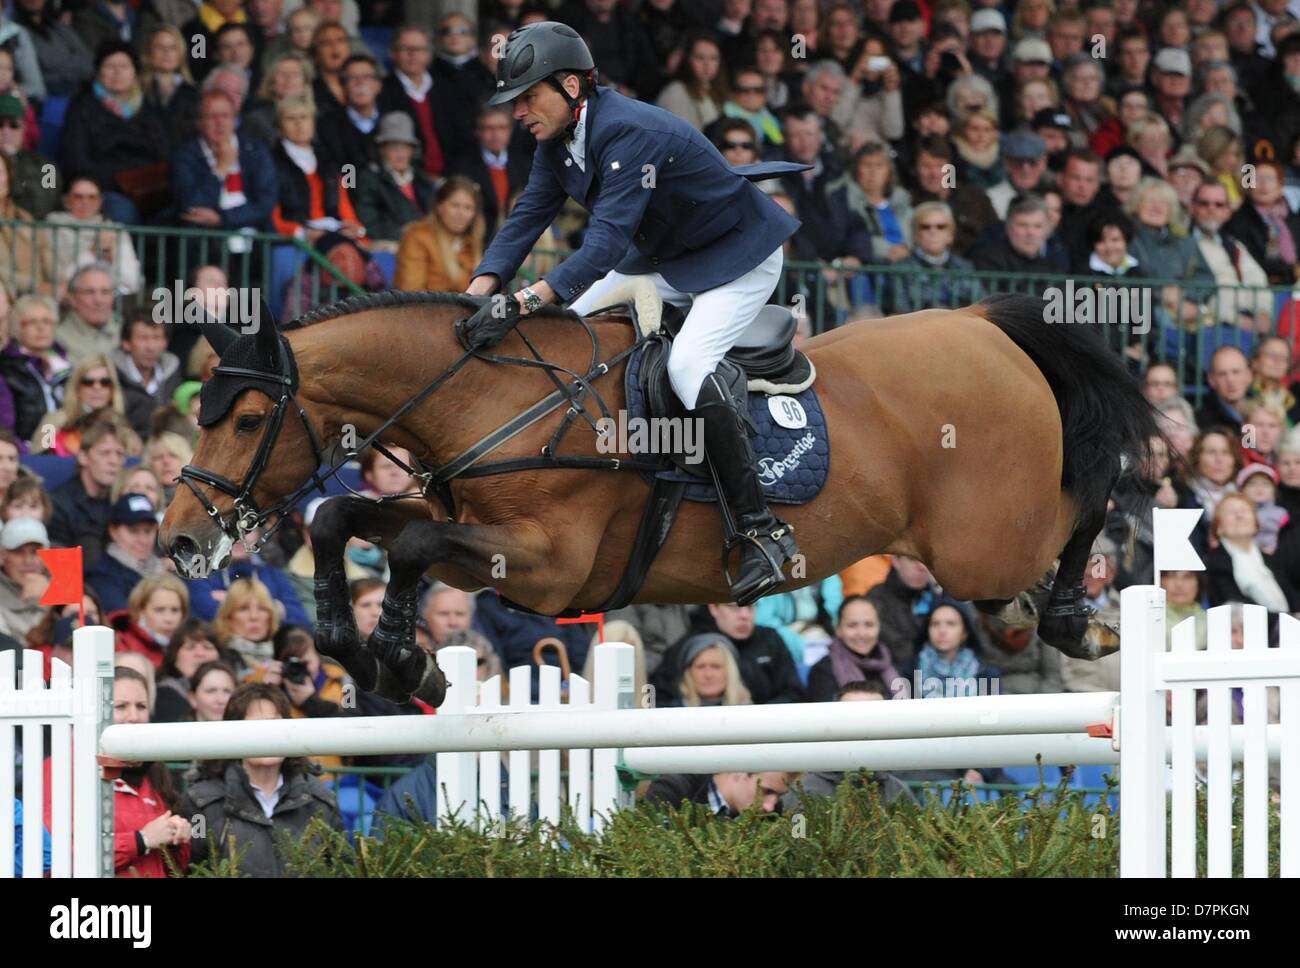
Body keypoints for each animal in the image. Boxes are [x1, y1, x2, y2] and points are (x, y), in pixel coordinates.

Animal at [160, 291, 1158, 705]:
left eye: (246, 419)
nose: (177, 542)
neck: (490, 398)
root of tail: (986, 327)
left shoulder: (549, 569)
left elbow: (403, 550)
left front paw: (403, 661)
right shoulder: (469, 531)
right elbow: (342, 518)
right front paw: (353, 646)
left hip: (983, 536)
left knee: (1090, 498)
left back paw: (1082, 619)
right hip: (977, 553)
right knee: (1022, 574)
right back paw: (1045, 614)